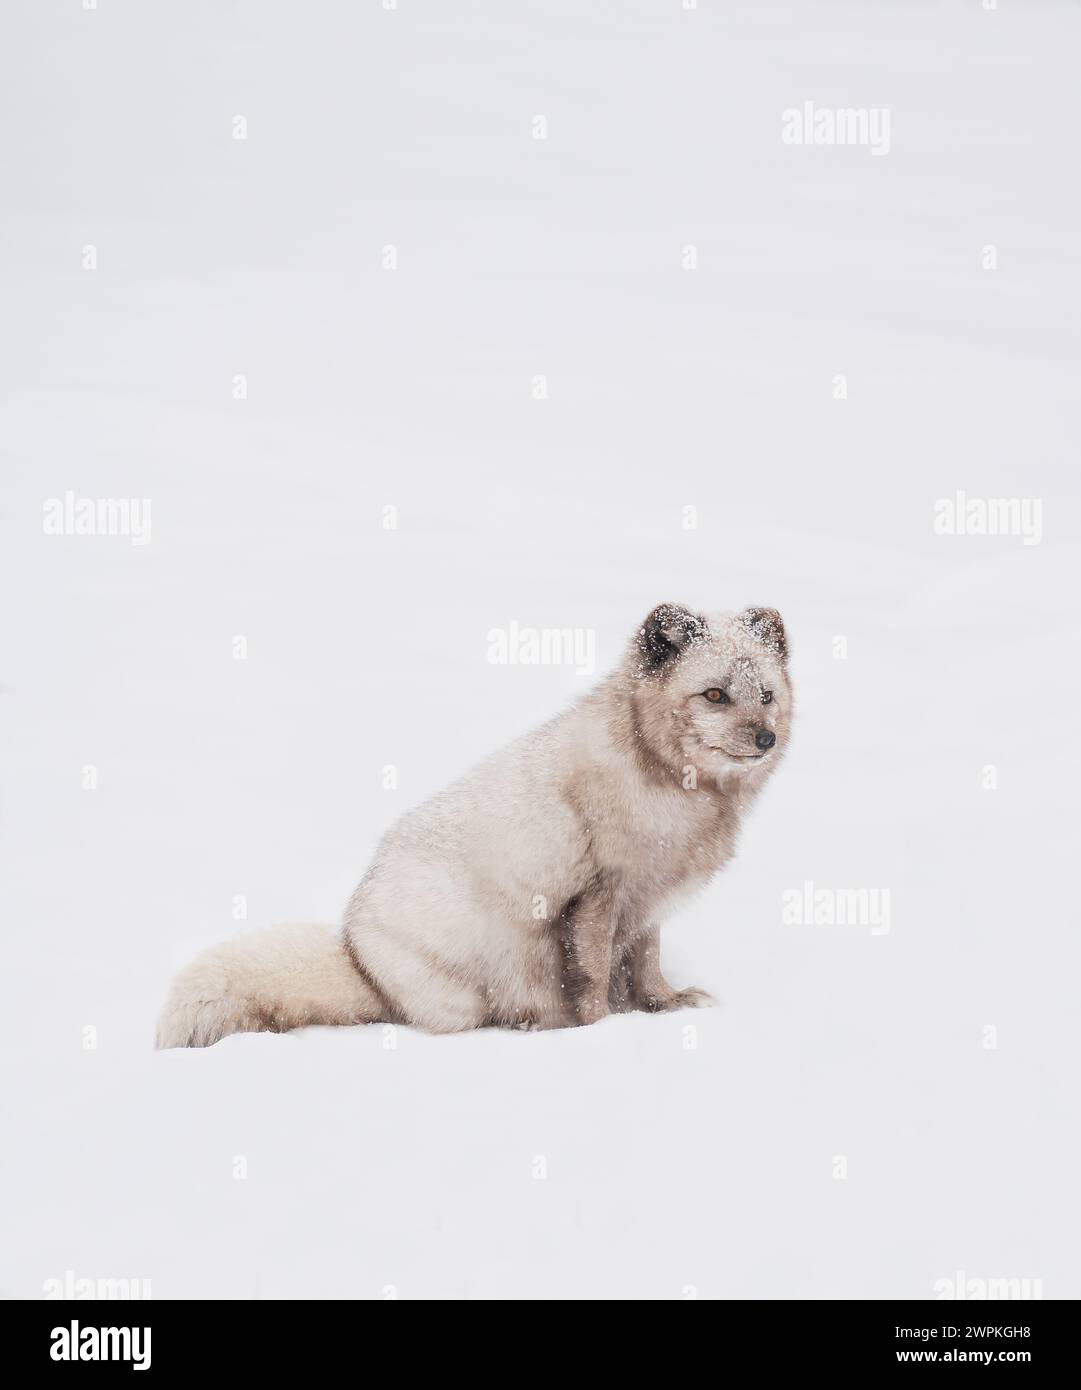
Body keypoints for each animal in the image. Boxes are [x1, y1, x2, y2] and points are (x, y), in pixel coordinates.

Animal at [155, 603, 792, 1048]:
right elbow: (590, 981)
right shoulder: (597, 895)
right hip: (485, 973)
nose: (766, 739)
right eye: (715, 694)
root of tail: (359, 955)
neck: (666, 779)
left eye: (766, 695)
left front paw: (667, 1005)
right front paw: (601, 1030)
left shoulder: (646, 902)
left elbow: (647, 966)